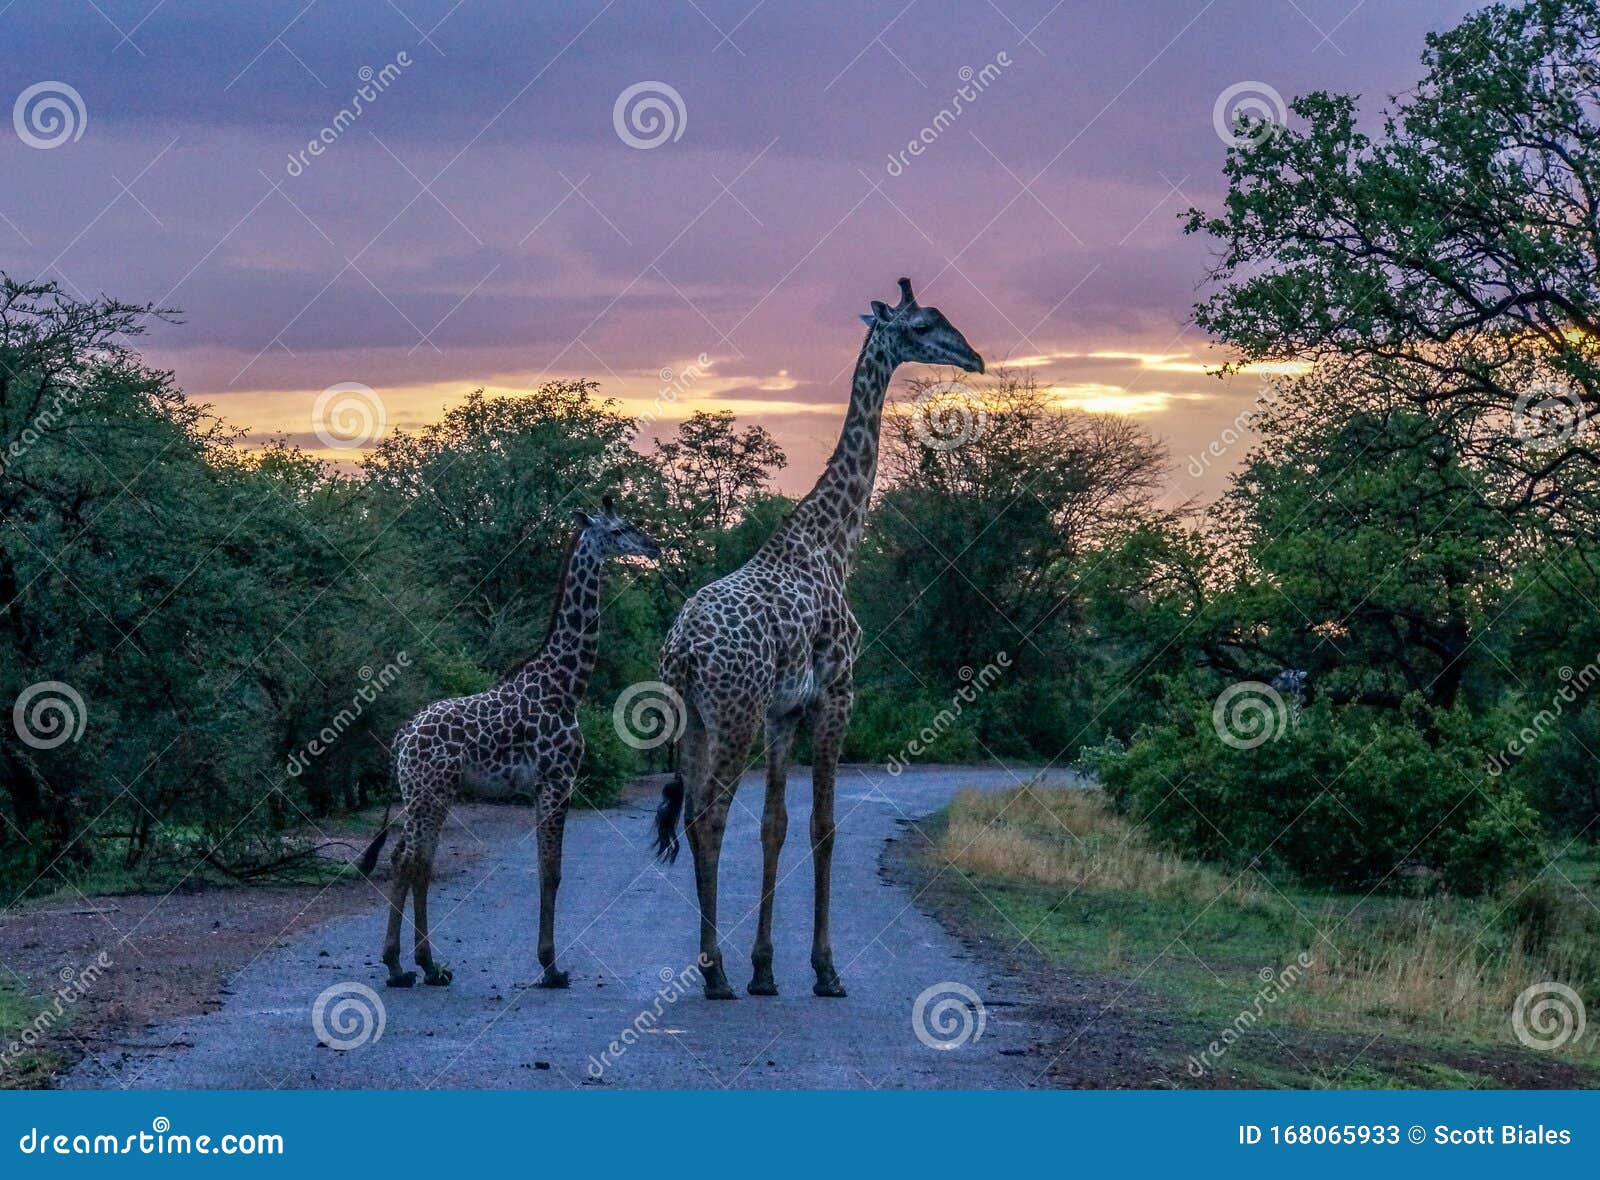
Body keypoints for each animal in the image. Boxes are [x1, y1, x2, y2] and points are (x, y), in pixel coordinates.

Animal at [358, 498, 659, 989]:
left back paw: (428, 966)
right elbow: (551, 872)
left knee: (416, 858)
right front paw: (552, 967)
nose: (652, 547)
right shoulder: (558, 780)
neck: (566, 686)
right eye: (619, 529)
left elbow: (546, 869)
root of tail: (402, 736)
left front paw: (548, 963)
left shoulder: (546, 784)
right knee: (408, 859)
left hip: (427, 793)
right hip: (429, 790)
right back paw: (399, 966)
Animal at [654, 277, 983, 999]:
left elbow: (775, 826)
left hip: (696, 719)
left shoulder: (786, 711)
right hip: (734, 713)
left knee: (695, 817)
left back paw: (720, 967)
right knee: (709, 817)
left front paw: (766, 968)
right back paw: (713, 975)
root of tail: (681, 653)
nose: (973, 358)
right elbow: (824, 827)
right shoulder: (838, 693)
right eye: (922, 326)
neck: (835, 544)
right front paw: (825, 969)